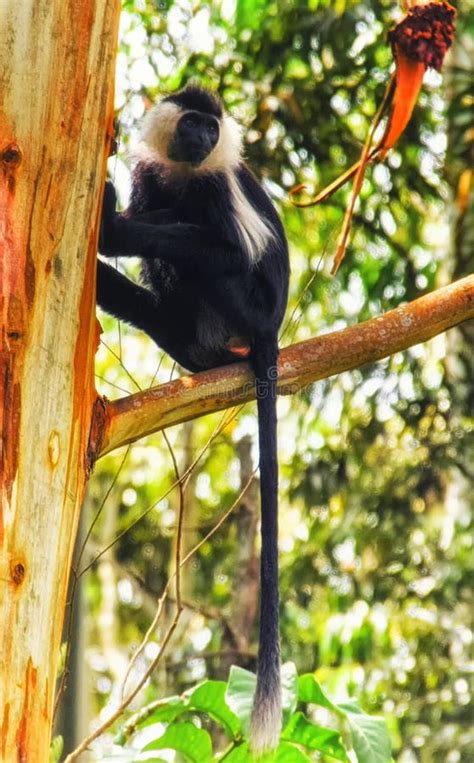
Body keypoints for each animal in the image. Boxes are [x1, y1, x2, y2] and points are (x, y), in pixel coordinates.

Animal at [97, 85, 289, 755]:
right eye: (192, 124)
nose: (205, 138)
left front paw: (113, 227)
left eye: (212, 128)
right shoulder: (152, 173)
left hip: (244, 307)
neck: (185, 171)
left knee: (210, 256)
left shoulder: (216, 184)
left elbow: (224, 246)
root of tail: (267, 336)